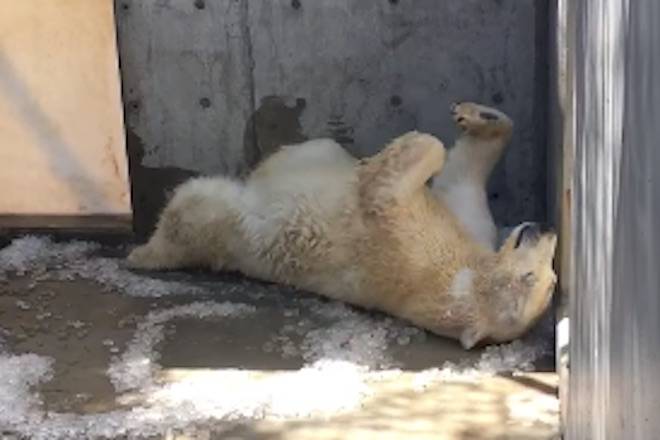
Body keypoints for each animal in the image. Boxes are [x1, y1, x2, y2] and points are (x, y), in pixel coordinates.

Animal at [127, 131, 556, 349]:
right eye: (548, 280)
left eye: (533, 280)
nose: (546, 230)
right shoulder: (466, 233)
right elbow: (460, 187)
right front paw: (483, 121)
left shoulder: (414, 246)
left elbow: (381, 189)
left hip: (224, 224)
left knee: (193, 205)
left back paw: (142, 253)